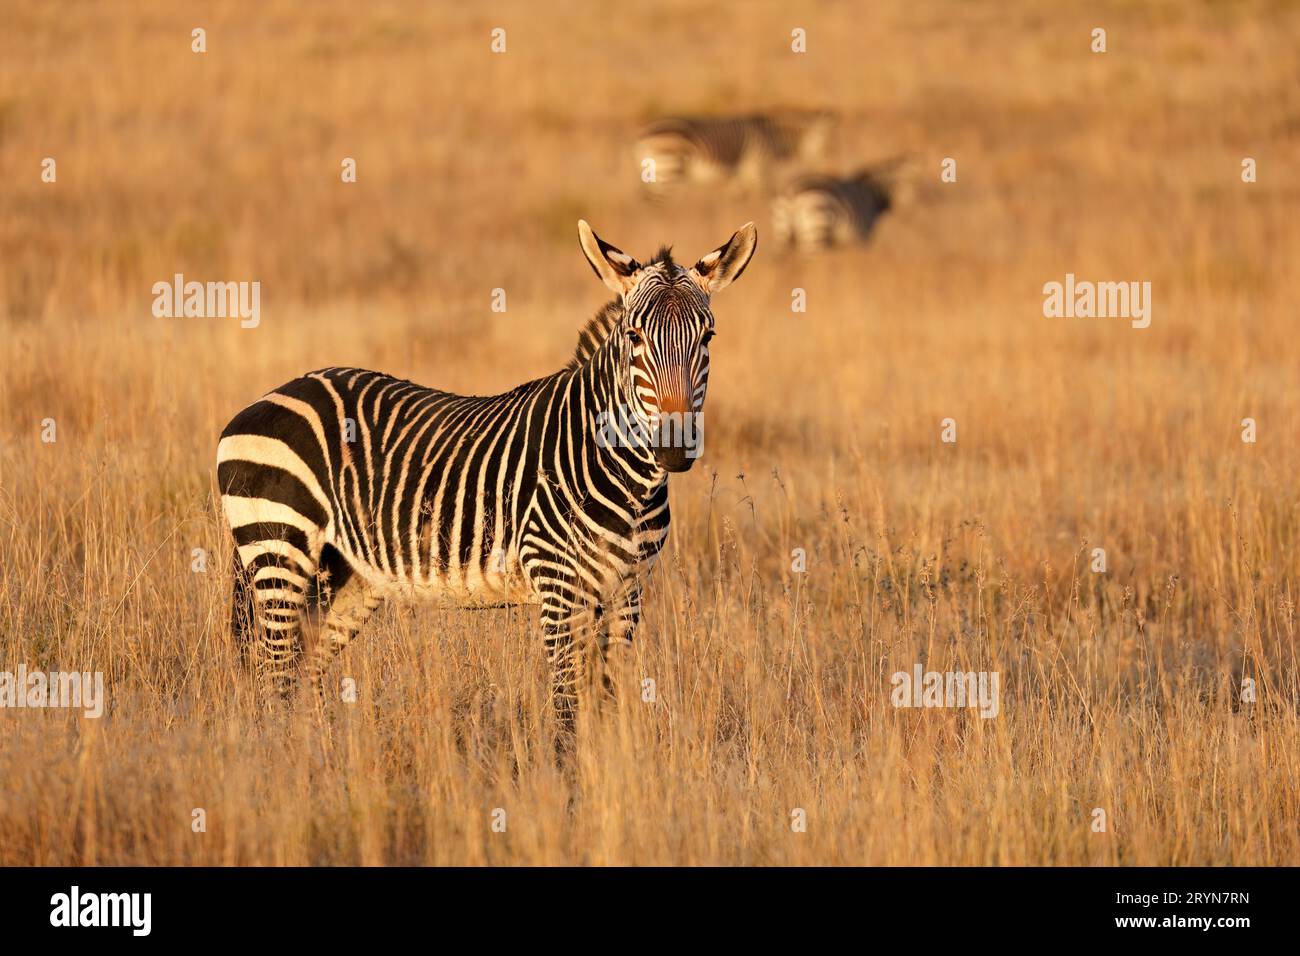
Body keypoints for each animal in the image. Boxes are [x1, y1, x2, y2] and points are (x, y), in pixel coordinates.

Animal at [216, 220, 757, 741]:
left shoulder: (629, 589)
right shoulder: (559, 585)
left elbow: (606, 700)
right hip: (279, 551)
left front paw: (610, 763)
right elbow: (567, 710)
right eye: (634, 337)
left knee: (301, 677)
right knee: (273, 678)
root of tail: (272, 395)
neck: (627, 480)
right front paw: (568, 773)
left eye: (707, 338)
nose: (674, 447)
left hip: (343, 575)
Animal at [635, 111, 833, 198]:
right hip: (668, 168)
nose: (829, 172)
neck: (771, 137)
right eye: (829, 144)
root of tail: (642, 135)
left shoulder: (740, 178)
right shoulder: (759, 171)